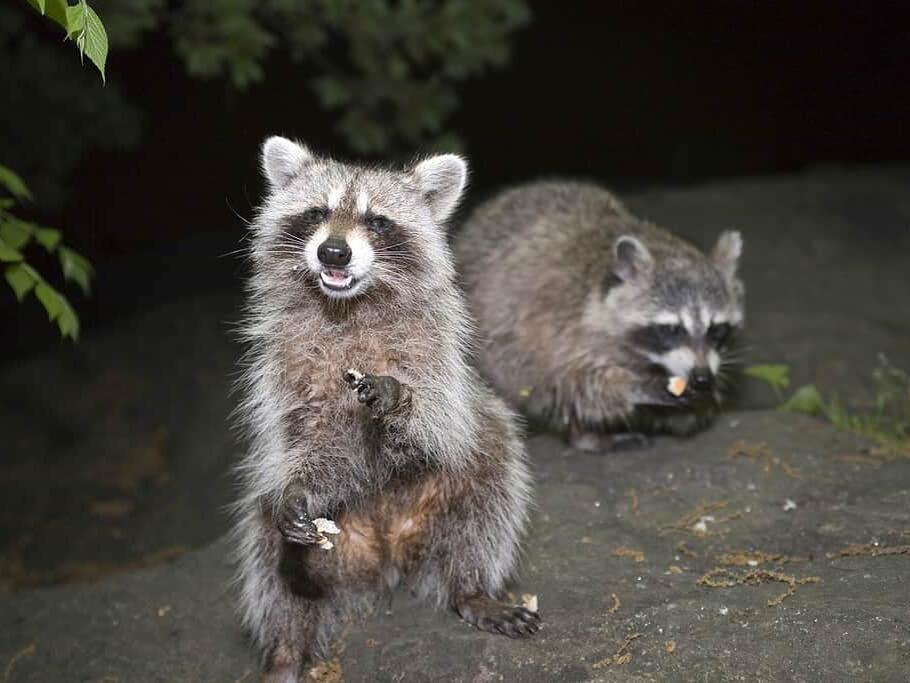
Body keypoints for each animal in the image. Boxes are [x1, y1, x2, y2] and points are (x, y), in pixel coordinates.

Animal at [234, 137, 539, 681]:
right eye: (317, 213)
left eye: (376, 221)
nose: (333, 251)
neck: (347, 306)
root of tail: (387, 553)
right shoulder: (285, 369)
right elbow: (310, 440)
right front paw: (300, 486)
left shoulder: (438, 355)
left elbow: (439, 421)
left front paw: (401, 400)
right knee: (272, 556)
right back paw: (285, 648)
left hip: (461, 486)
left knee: (489, 486)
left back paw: (472, 587)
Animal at [455, 181, 744, 452]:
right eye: (671, 329)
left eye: (717, 329)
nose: (702, 377)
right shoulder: (564, 326)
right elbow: (581, 383)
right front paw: (638, 387)